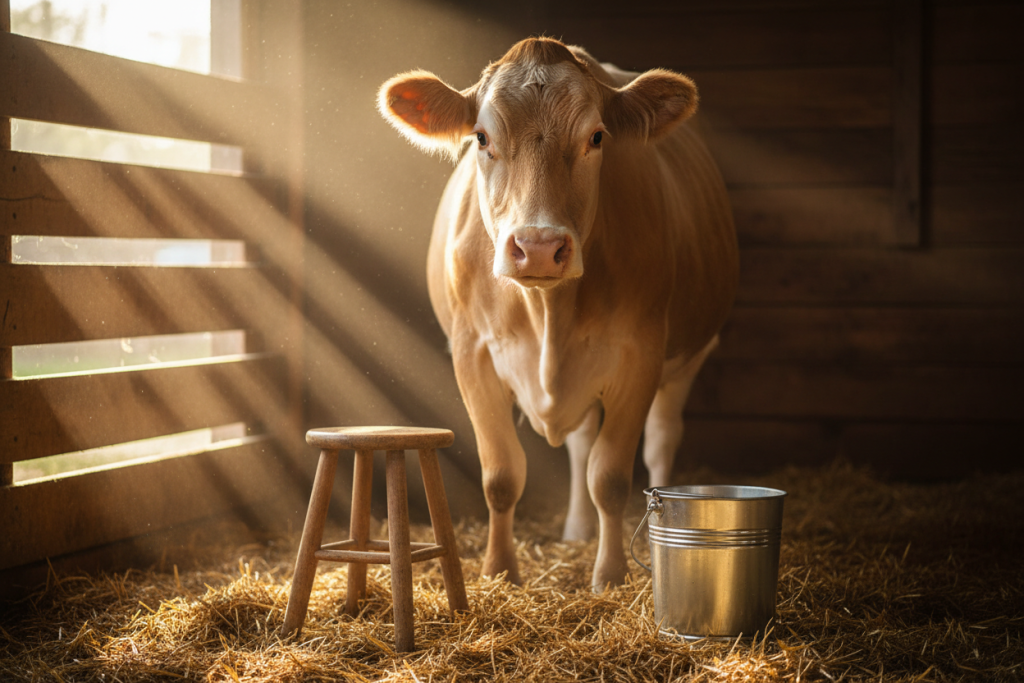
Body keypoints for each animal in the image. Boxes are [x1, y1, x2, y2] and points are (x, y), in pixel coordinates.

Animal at [378, 37, 738, 590]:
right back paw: (575, 531)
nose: (539, 247)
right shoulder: (472, 355)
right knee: (580, 442)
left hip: (689, 357)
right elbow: (502, 475)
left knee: (659, 443)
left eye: (597, 136)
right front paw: (499, 573)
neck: (547, 311)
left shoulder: (640, 356)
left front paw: (610, 576)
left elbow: (609, 477)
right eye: (481, 137)